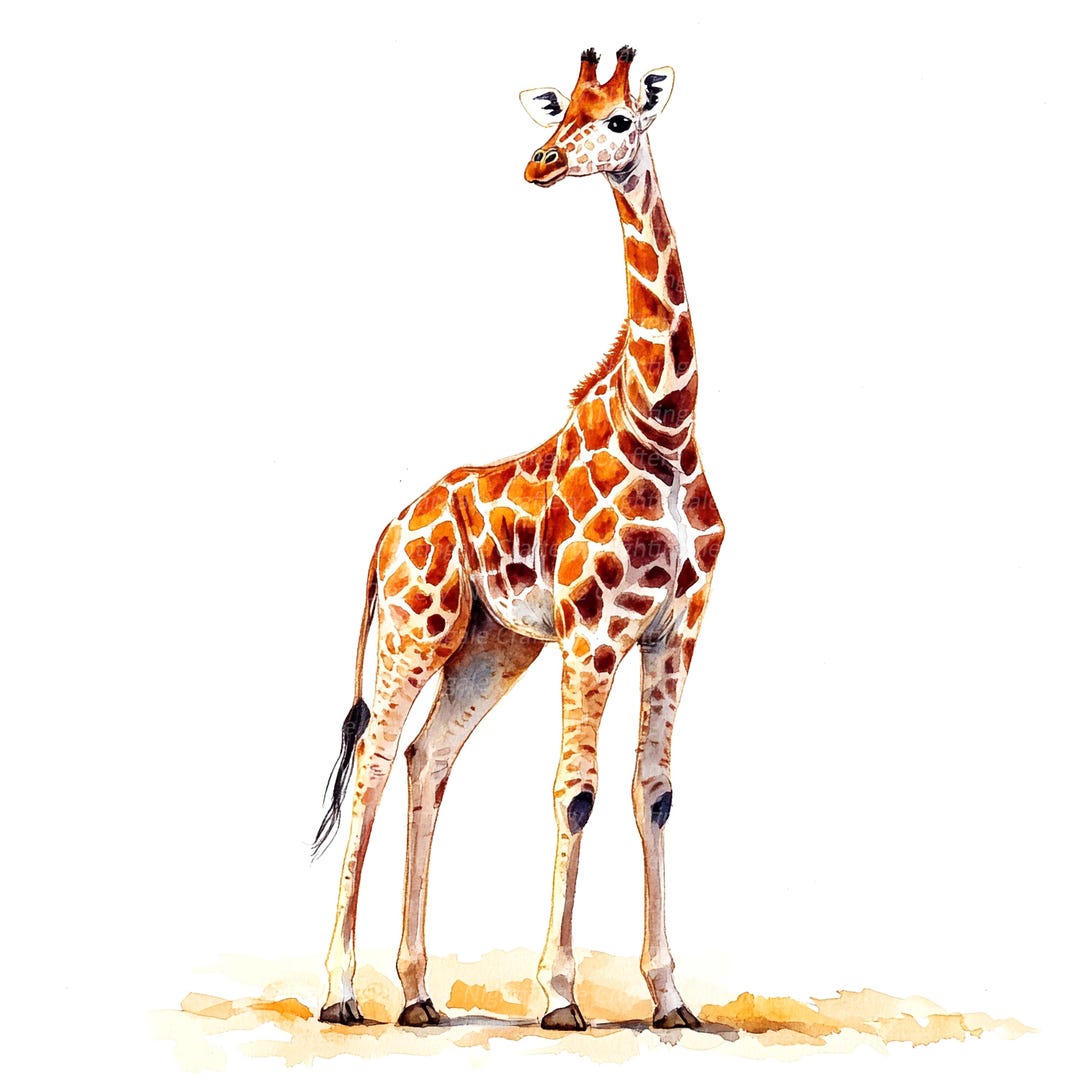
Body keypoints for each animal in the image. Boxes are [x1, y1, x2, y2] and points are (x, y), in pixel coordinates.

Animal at [313, 45, 724, 1032]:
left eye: (619, 118)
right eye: (562, 108)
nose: (540, 163)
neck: (667, 427)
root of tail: (384, 536)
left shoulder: (677, 627)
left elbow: (654, 792)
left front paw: (671, 1000)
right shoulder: (595, 629)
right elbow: (573, 792)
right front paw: (560, 994)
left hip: (490, 648)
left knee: (427, 760)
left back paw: (417, 994)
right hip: (415, 631)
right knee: (373, 767)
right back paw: (340, 990)